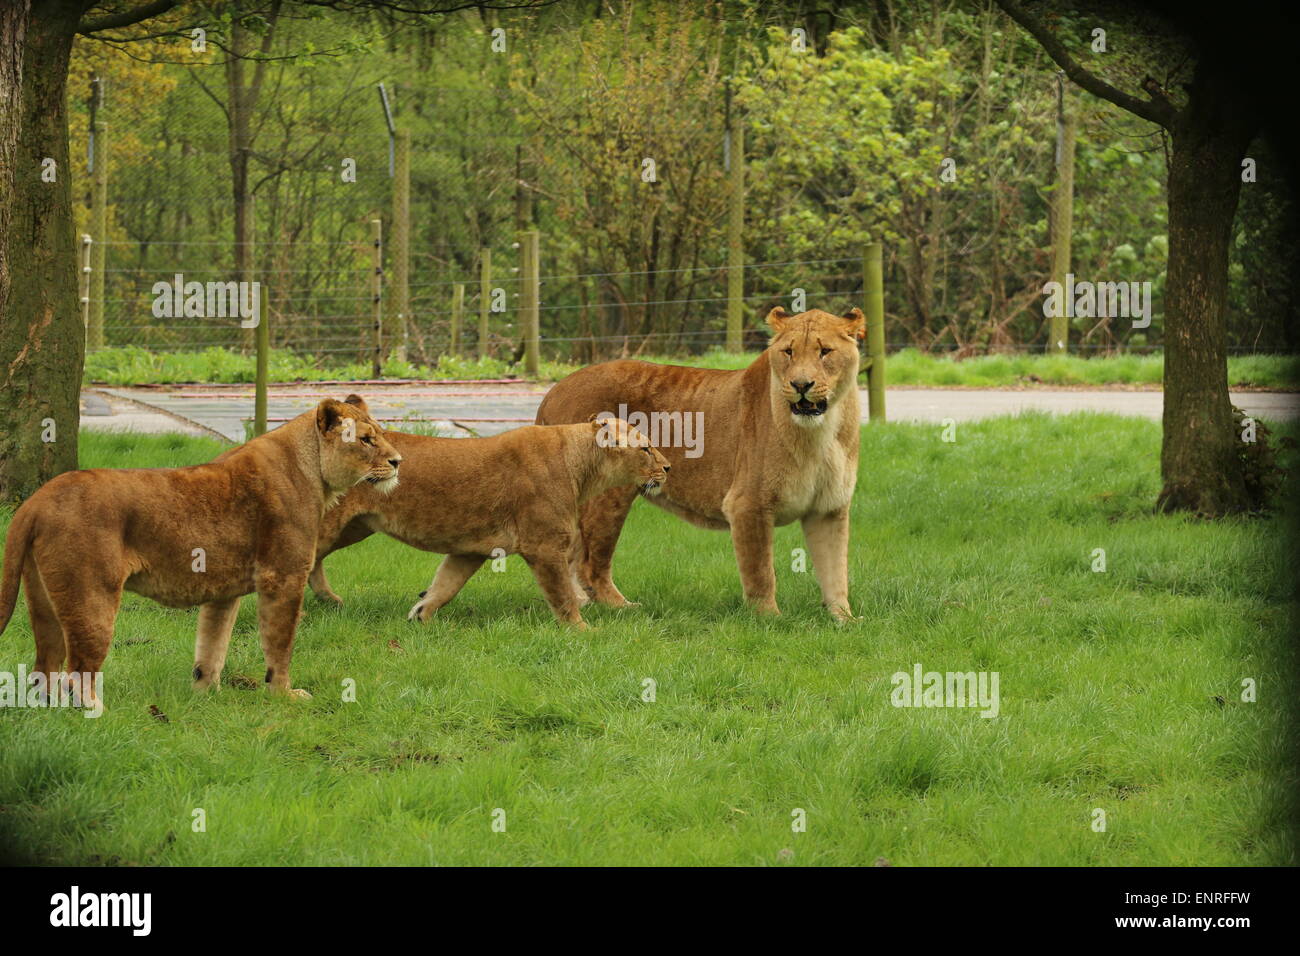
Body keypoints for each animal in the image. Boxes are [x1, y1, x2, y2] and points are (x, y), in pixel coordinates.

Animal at [0, 396, 402, 707]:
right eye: (367, 440)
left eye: (380, 436)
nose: (398, 461)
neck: (313, 471)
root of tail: (37, 500)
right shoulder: (283, 576)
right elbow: (280, 643)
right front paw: (284, 696)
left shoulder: (222, 592)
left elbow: (212, 646)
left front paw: (206, 695)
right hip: (91, 596)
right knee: (77, 673)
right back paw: (99, 716)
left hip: (44, 600)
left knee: (44, 669)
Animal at [307, 404, 669, 630]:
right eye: (646, 449)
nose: (667, 468)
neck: (581, 465)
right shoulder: (544, 545)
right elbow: (564, 596)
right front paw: (584, 631)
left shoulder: (469, 549)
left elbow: (445, 586)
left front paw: (421, 617)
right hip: (335, 525)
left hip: (354, 527)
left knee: (314, 561)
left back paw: (329, 600)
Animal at [534, 307, 865, 620]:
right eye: (788, 352)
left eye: (825, 351)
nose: (800, 384)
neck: (822, 432)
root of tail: (552, 392)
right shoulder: (748, 504)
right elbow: (760, 571)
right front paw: (770, 619)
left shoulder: (829, 509)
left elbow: (836, 572)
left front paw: (844, 619)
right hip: (609, 495)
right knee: (591, 565)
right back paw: (623, 608)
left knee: (574, 558)